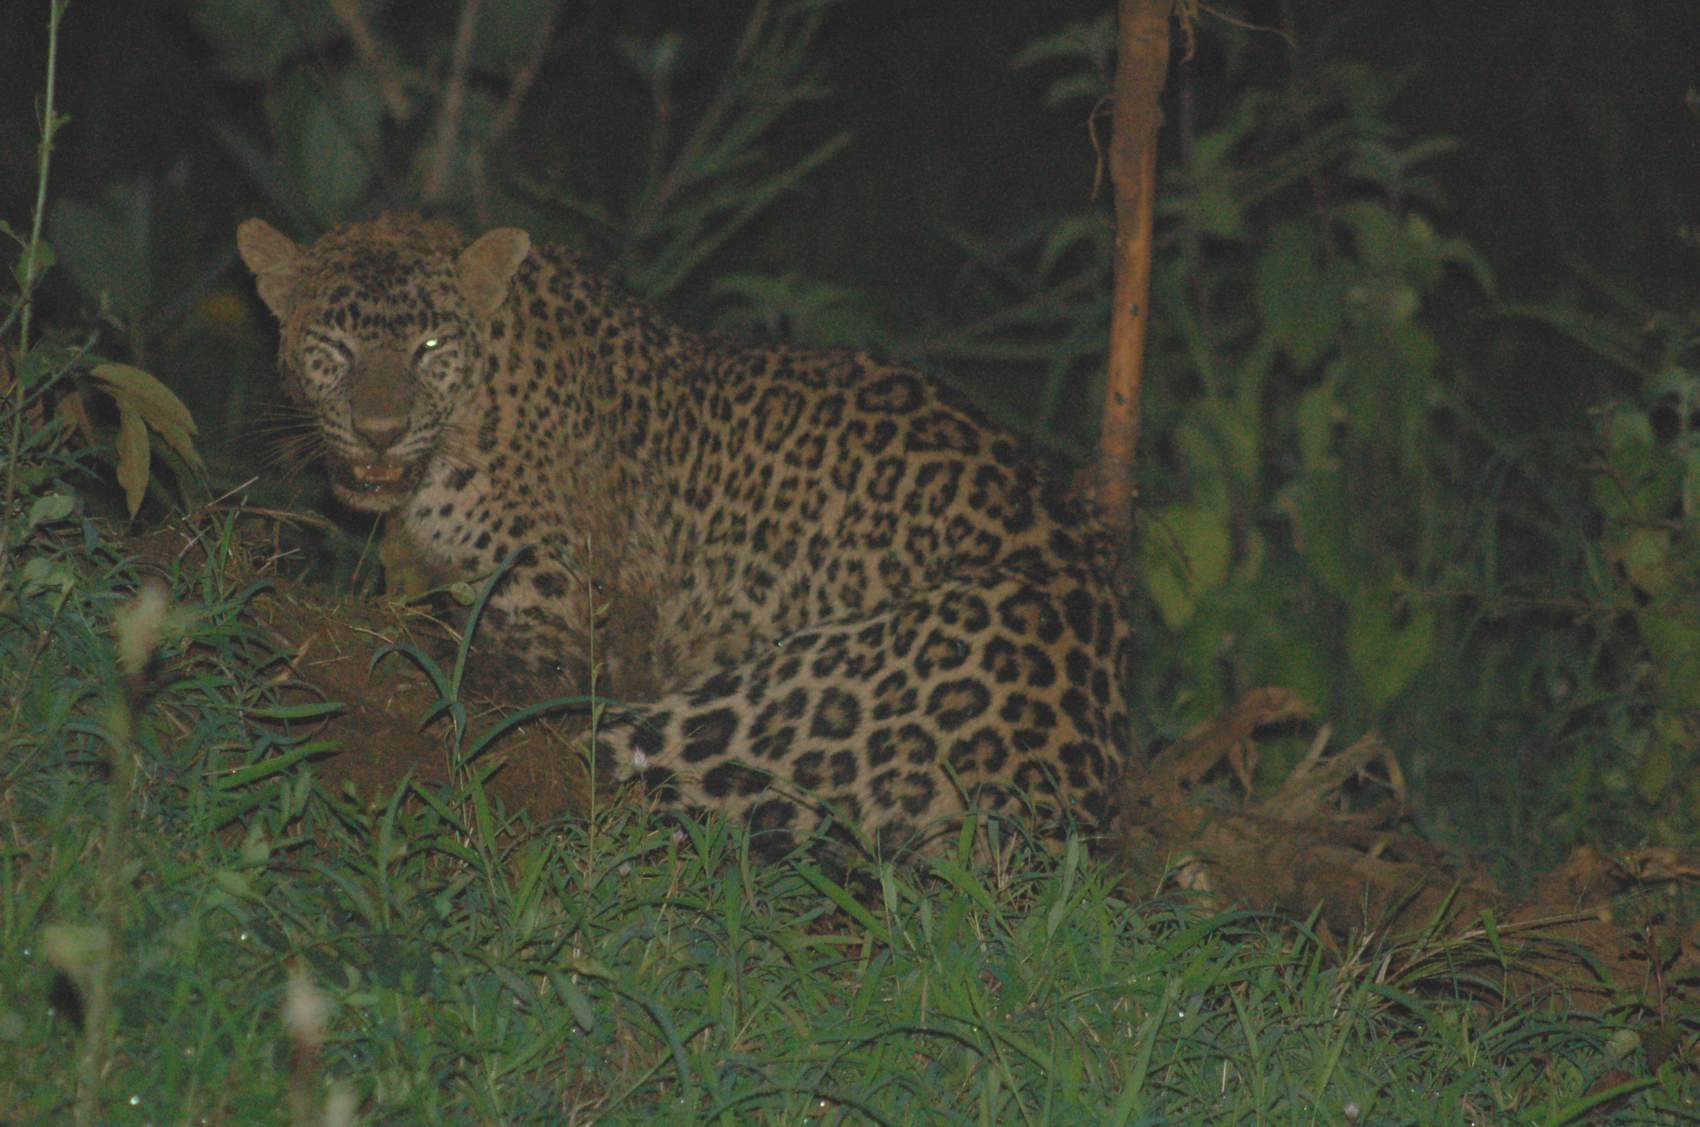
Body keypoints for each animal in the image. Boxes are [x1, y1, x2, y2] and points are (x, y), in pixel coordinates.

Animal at [238, 211, 1136, 857]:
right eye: (333, 348)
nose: (380, 432)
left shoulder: (553, 613)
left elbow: (473, 651)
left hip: (767, 711)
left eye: (428, 347)